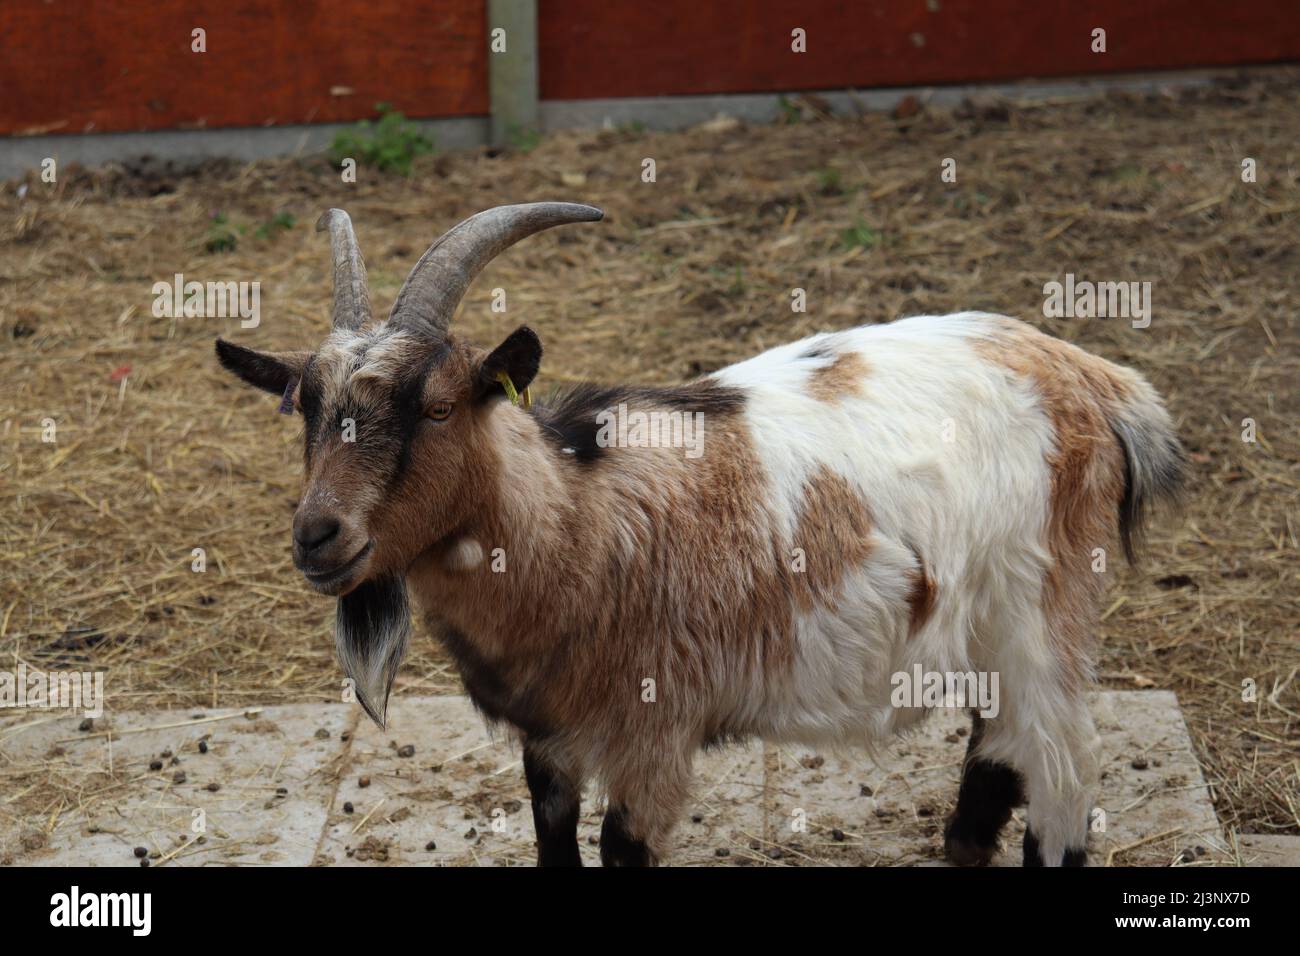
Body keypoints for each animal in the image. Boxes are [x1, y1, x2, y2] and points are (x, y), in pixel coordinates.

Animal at [215, 202, 1185, 867]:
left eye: (441, 406)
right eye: (304, 408)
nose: (318, 536)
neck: (576, 520)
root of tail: (1096, 380)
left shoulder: (655, 736)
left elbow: (621, 849)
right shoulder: (550, 738)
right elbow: (553, 845)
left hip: (1045, 607)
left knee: (1062, 770)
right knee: (998, 748)